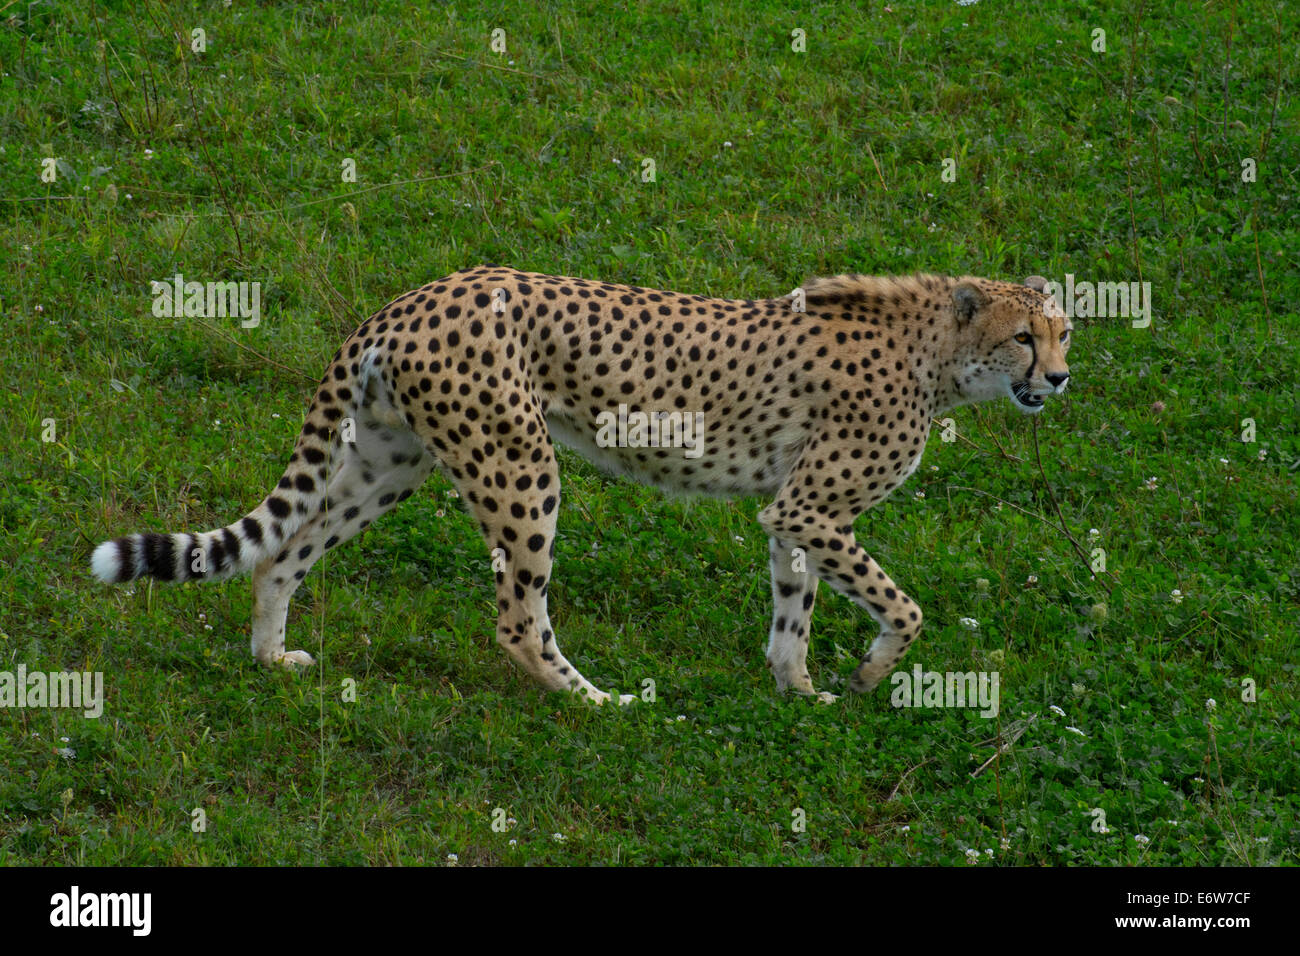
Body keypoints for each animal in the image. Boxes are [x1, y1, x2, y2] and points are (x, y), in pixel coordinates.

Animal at [91, 267, 1073, 705]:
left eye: (1066, 331)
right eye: (1025, 337)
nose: (1059, 379)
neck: (939, 352)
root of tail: (418, 294)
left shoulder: (795, 514)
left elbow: (794, 605)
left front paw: (796, 687)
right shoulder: (811, 505)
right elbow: (903, 605)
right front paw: (868, 672)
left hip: (392, 461)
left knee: (283, 551)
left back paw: (270, 654)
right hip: (522, 466)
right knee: (518, 619)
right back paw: (595, 702)